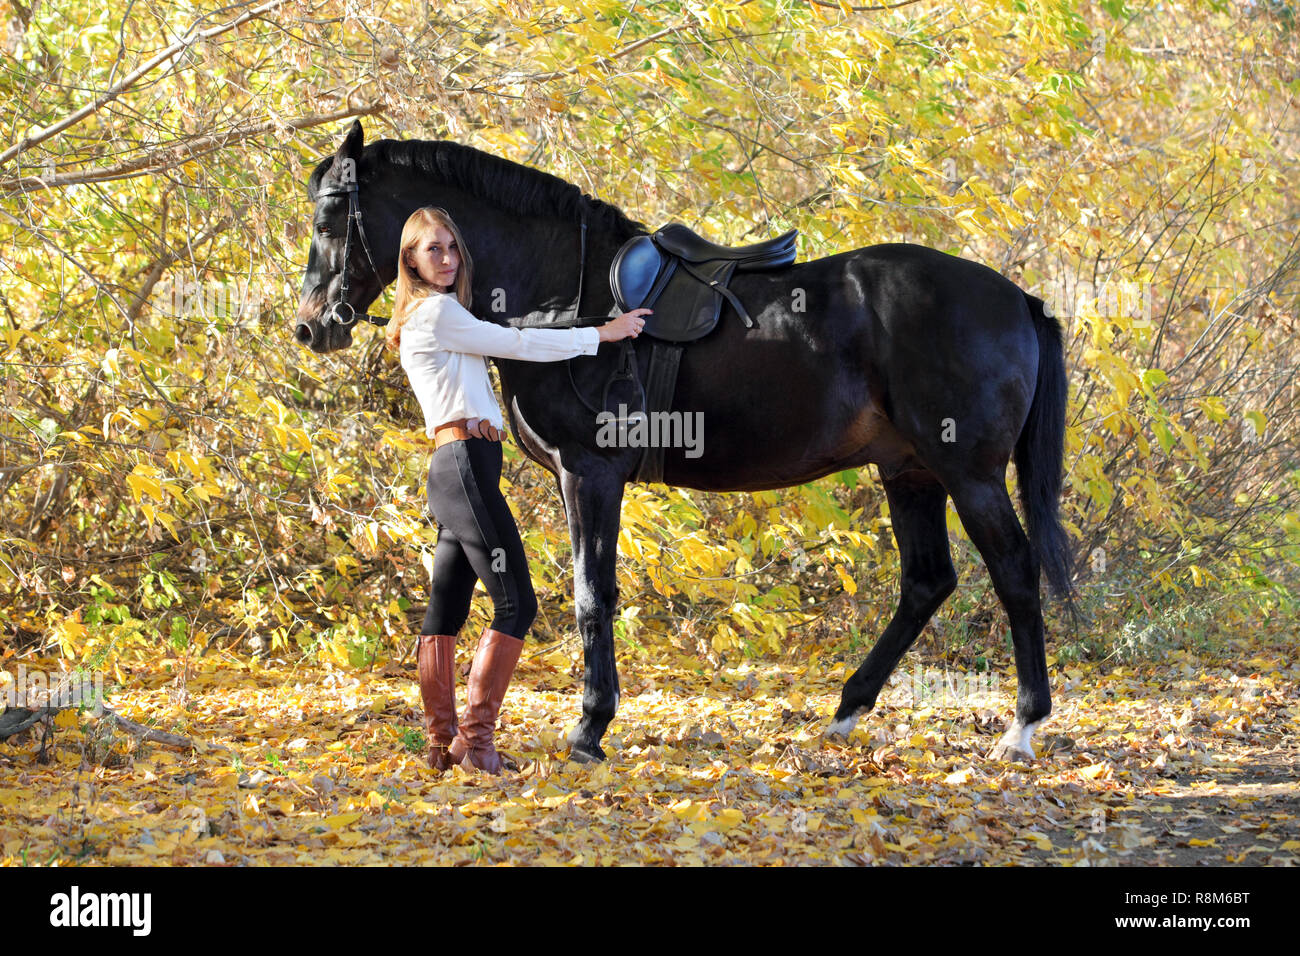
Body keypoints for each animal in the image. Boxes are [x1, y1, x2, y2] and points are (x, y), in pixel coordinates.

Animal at [293, 120, 1073, 764]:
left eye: (330, 216)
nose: (311, 326)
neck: (563, 294)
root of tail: (1019, 299)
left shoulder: (590, 473)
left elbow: (592, 594)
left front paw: (590, 727)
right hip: (910, 471)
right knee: (926, 581)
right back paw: (847, 712)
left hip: (967, 473)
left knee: (1013, 571)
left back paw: (1022, 727)